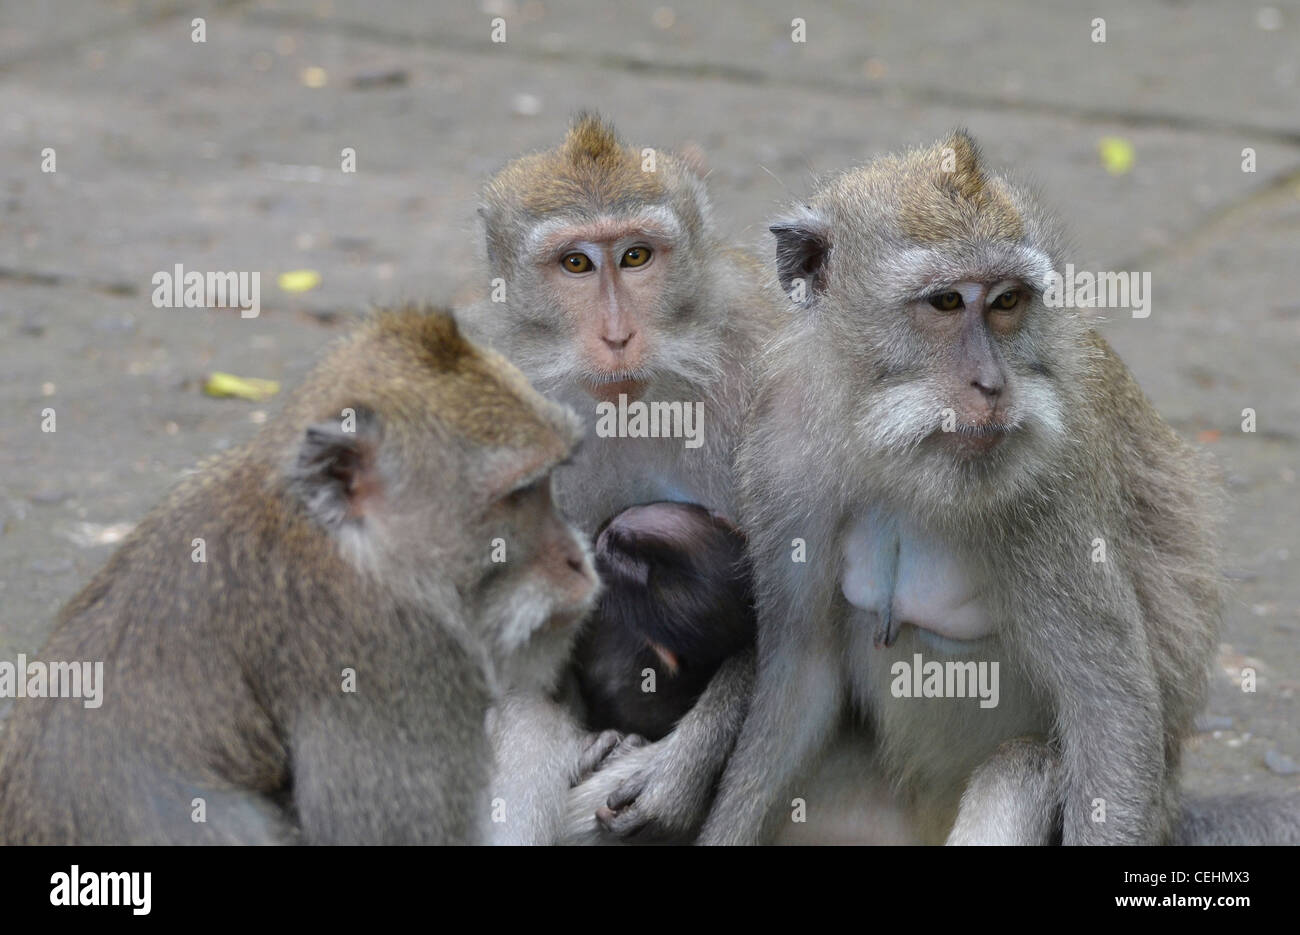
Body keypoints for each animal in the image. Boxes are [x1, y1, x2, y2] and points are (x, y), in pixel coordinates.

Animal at [698, 131, 1224, 846]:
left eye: (1007, 302)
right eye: (946, 302)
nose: (992, 385)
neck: (896, 452)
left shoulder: (1051, 482)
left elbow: (1110, 709)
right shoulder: (781, 455)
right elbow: (800, 676)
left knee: (1026, 763)